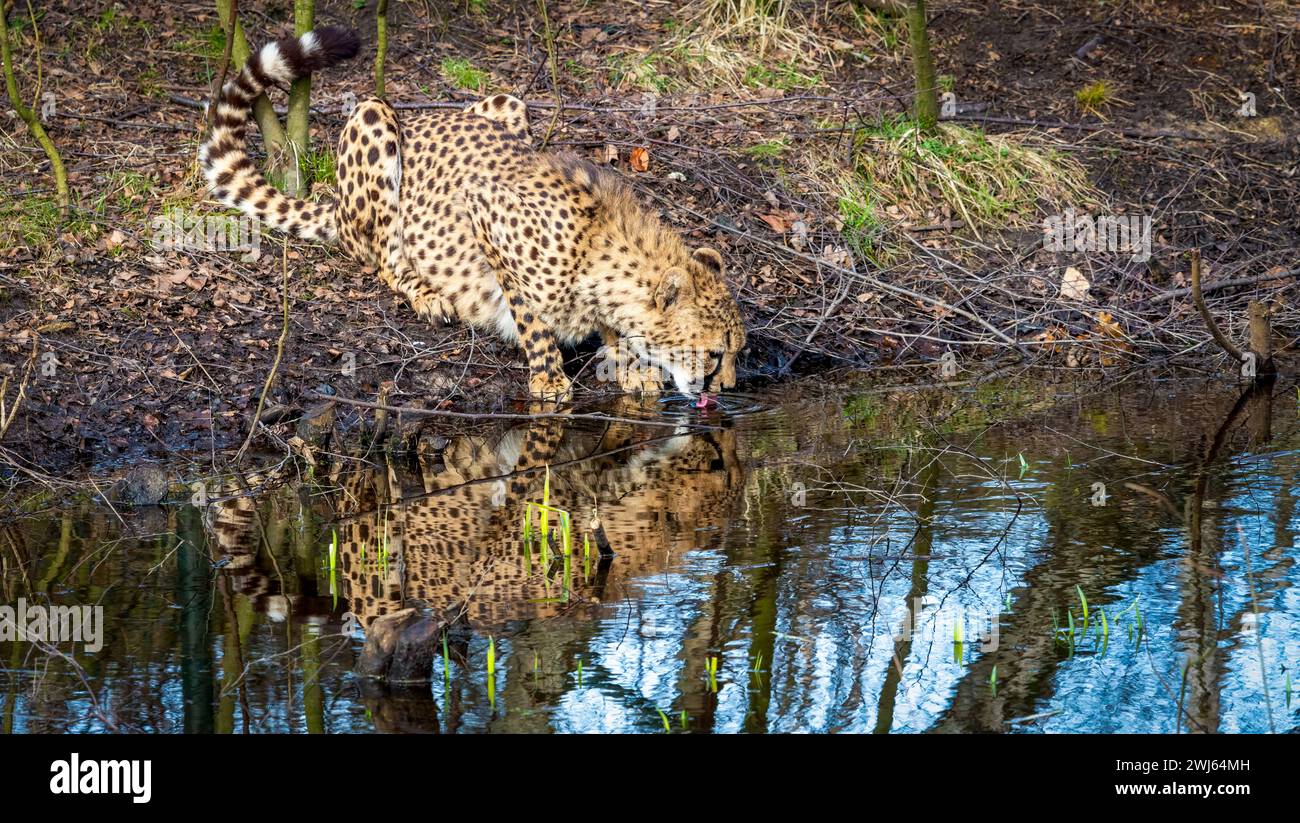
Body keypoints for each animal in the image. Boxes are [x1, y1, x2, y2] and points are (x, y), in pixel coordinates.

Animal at [199, 26, 746, 403]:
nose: (727, 389)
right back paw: (428, 295)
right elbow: (530, 315)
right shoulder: (484, 212)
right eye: (715, 353)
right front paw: (550, 378)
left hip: (509, 102)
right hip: (374, 117)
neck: (600, 252)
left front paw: (632, 365)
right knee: (383, 260)